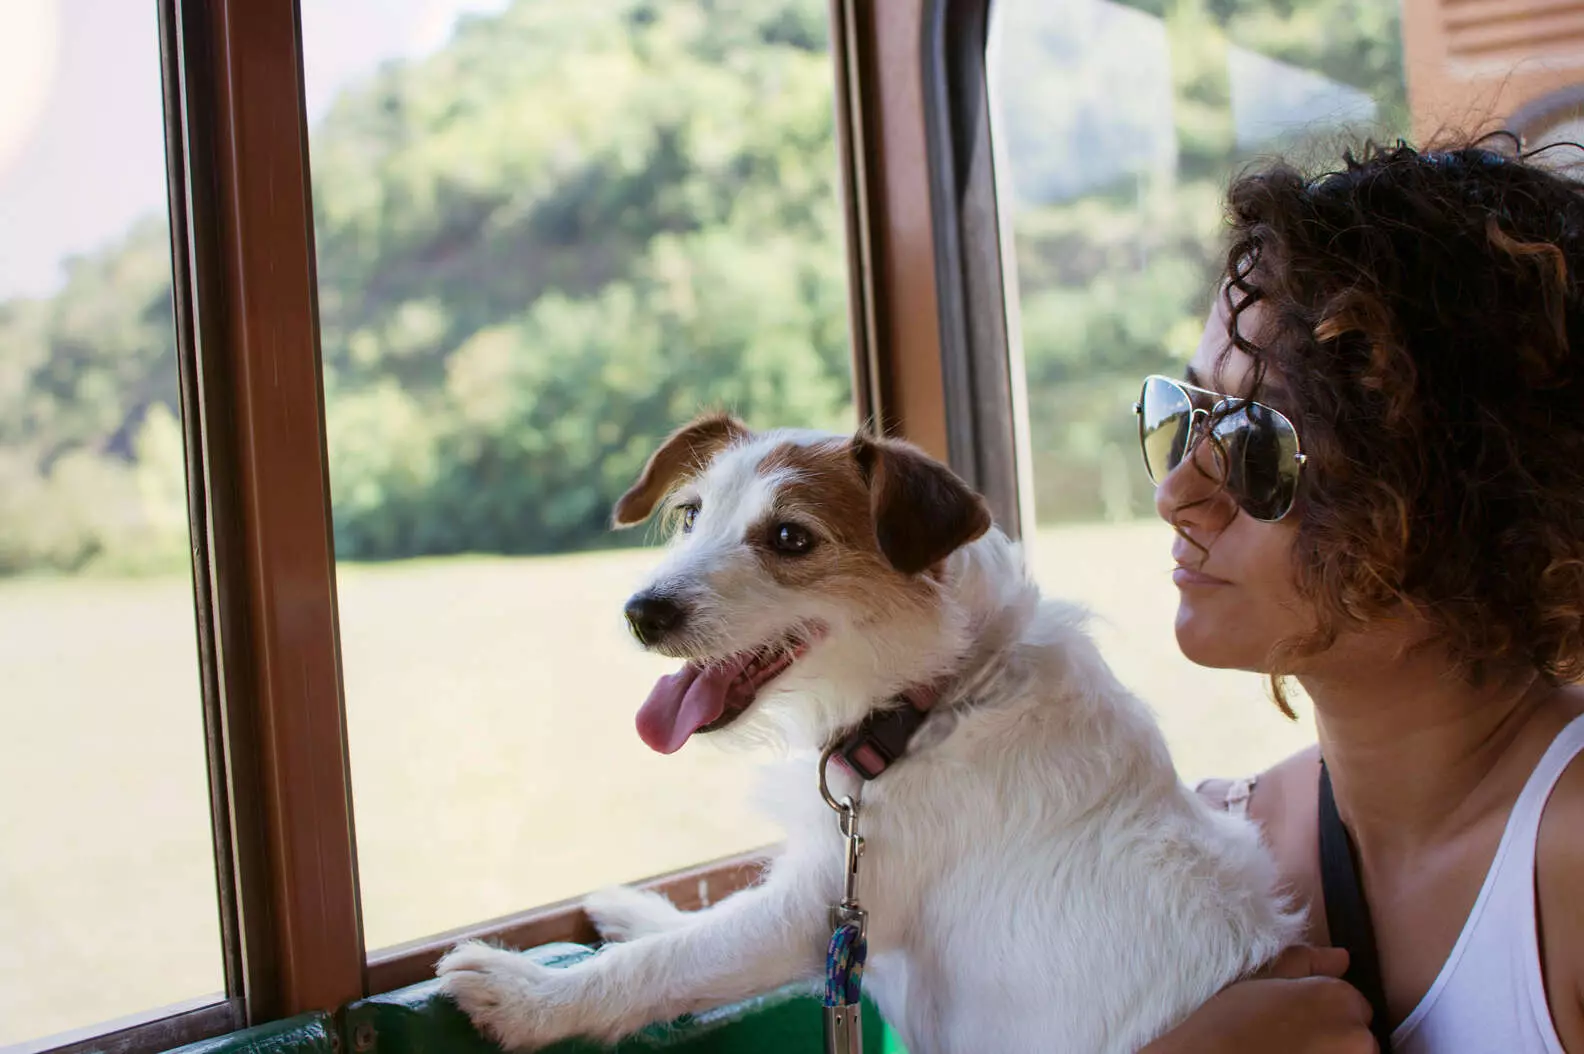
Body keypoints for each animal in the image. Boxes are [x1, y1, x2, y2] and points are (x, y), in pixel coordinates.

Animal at [437, 418, 1298, 1052]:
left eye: (790, 538)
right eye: (690, 515)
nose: (641, 613)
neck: (938, 702)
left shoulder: (814, 910)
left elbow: (670, 963)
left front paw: (530, 995)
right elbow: (692, 925)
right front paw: (631, 909)